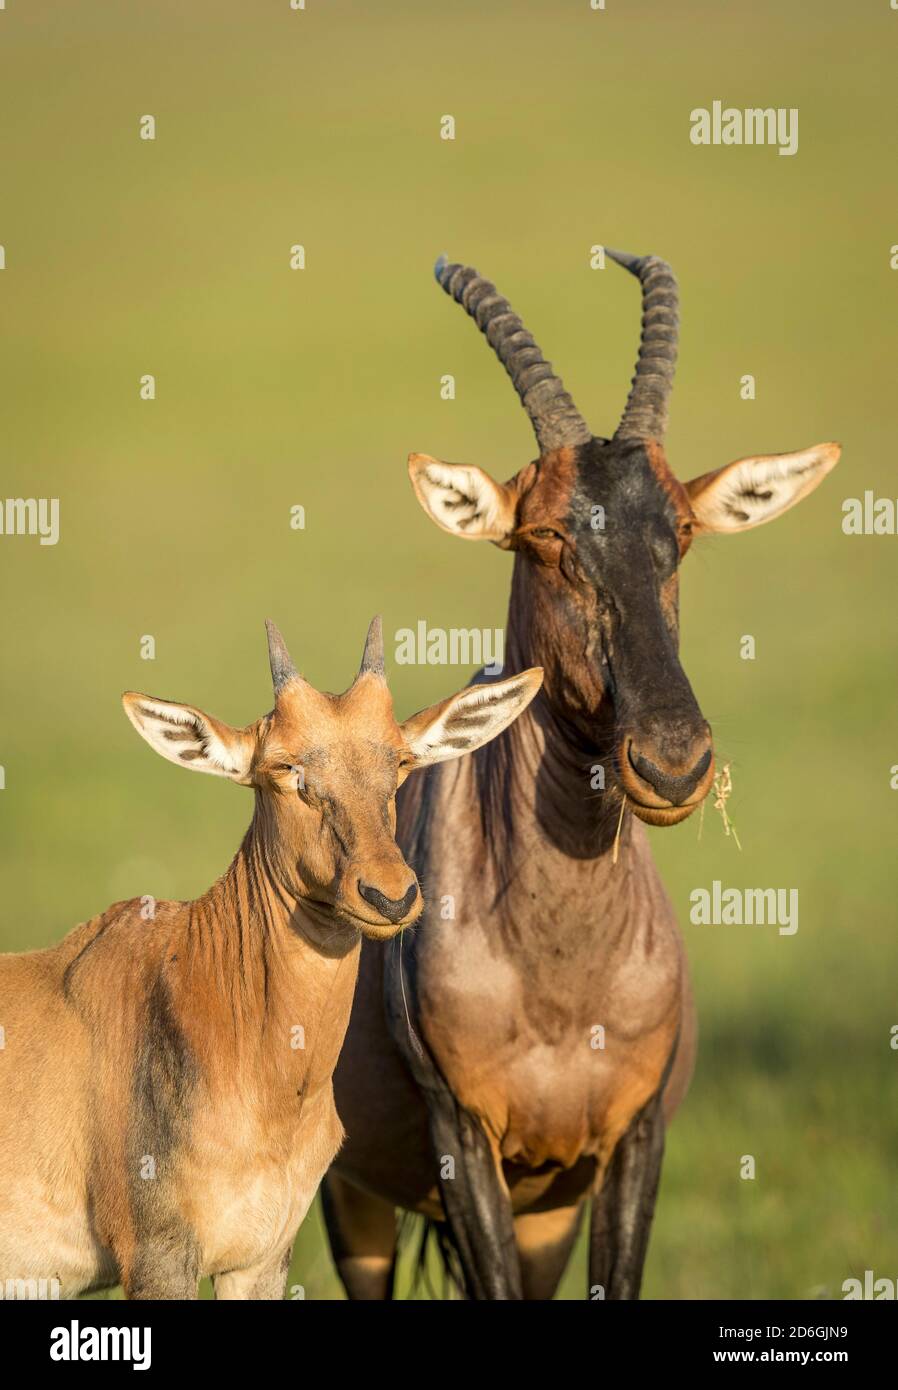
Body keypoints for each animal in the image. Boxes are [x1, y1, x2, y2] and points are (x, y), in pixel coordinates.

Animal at [324, 252, 841, 1300]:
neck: (560, 972)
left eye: (681, 529)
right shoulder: (465, 1148)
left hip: (545, 1213)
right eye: (549, 535)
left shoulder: (628, 1147)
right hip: (349, 1201)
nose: (672, 761)